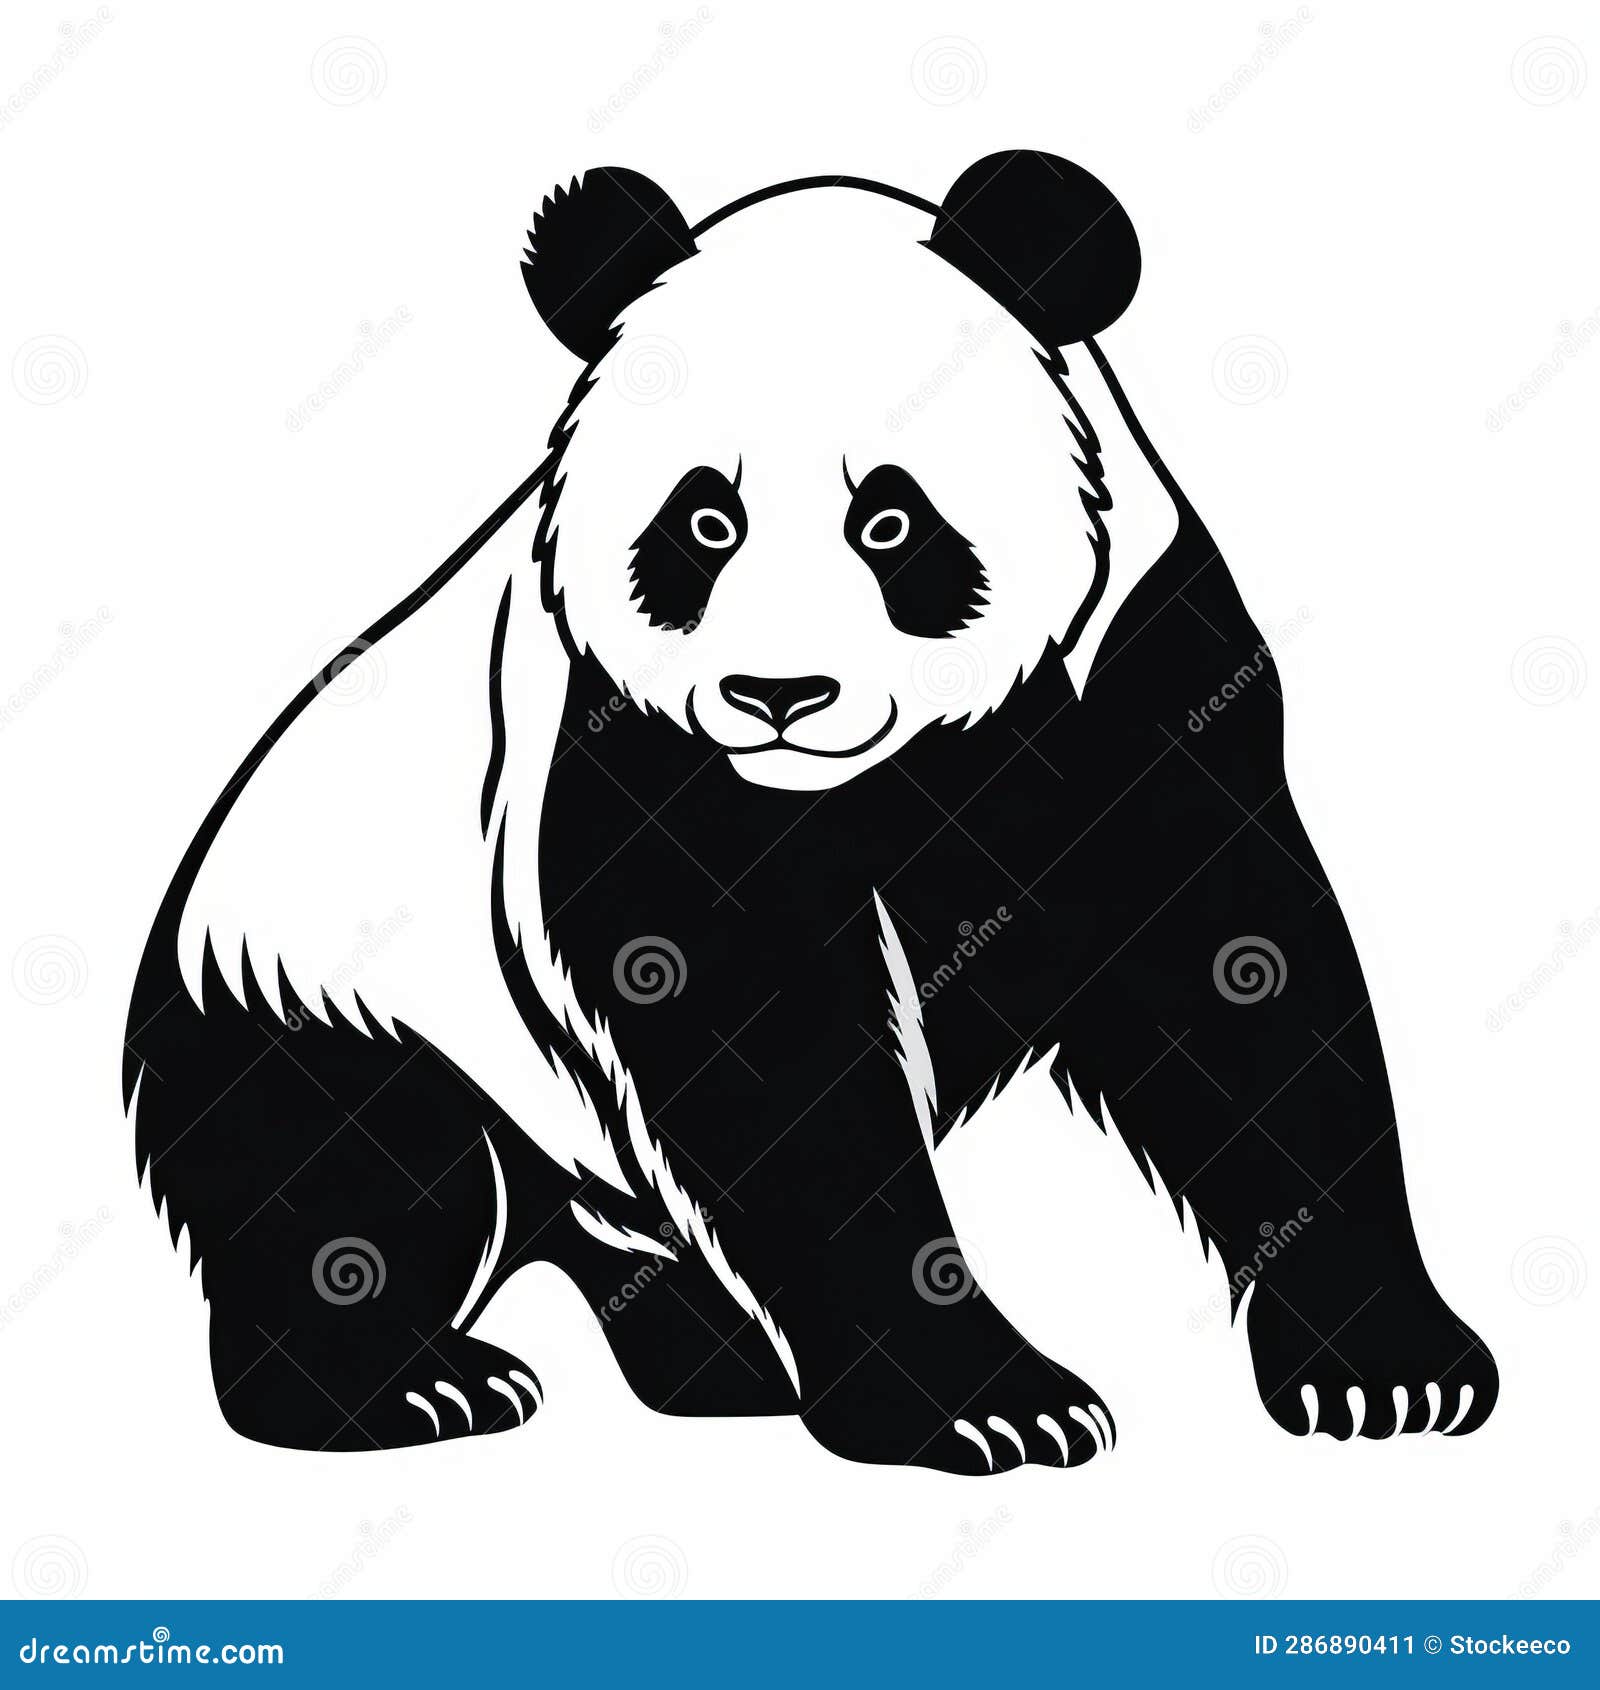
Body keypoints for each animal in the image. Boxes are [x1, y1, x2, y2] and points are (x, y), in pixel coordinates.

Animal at [124, 153, 1498, 1473]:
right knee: (355, 1180)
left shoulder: (1138, 661)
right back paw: (406, 1385)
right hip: (321, 1000)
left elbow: (1234, 974)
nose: (777, 695)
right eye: (703, 521)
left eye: (889, 519)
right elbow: (759, 1050)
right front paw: (987, 1405)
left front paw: (1390, 1369)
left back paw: (723, 1370)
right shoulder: (622, 739)